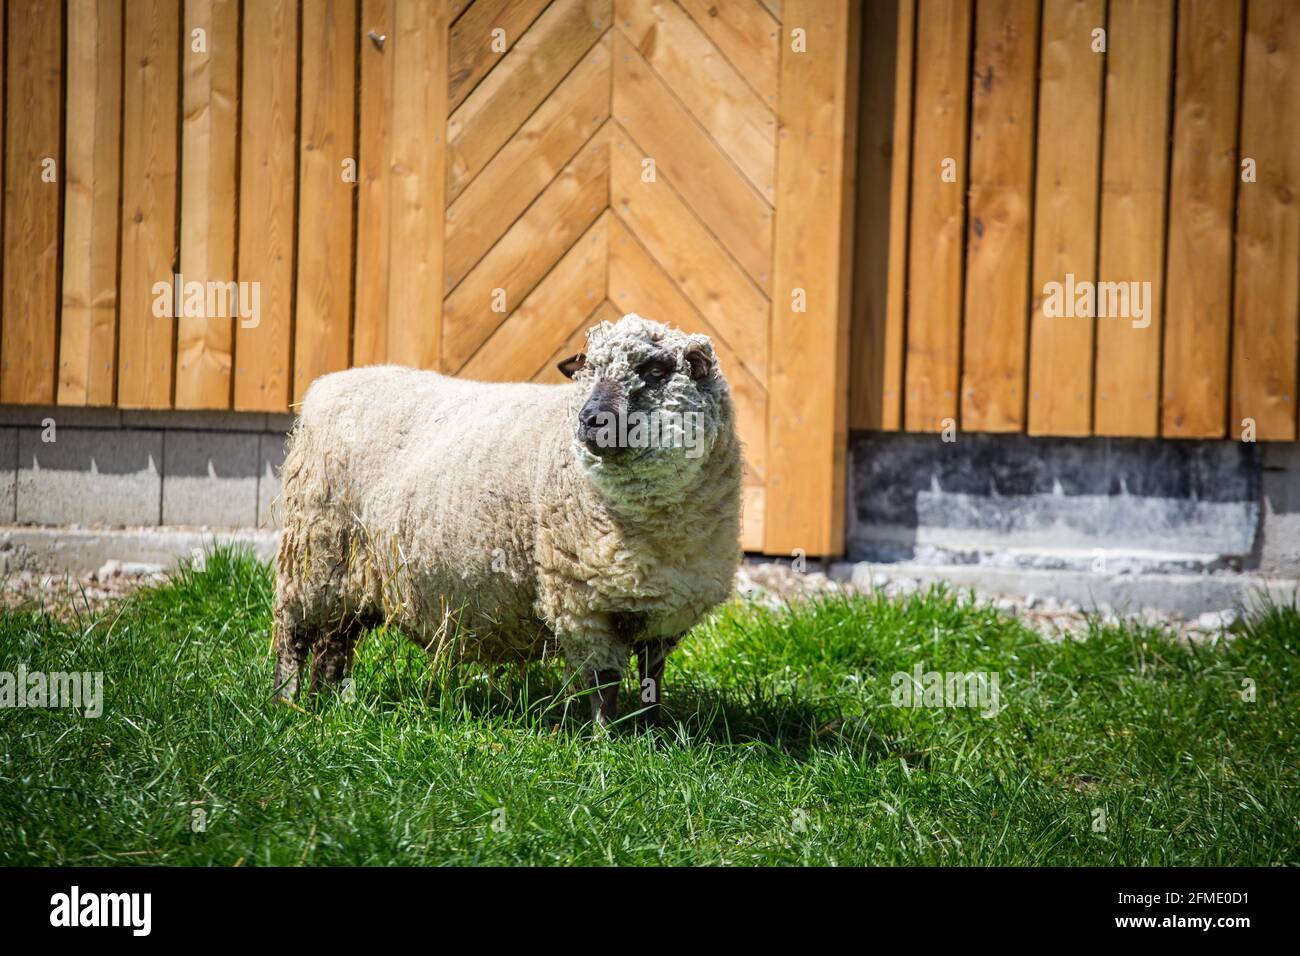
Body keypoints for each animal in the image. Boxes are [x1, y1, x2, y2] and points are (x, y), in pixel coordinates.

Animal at [273, 313, 743, 727]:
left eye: (655, 369)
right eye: (588, 369)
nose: (590, 419)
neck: (652, 528)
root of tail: (327, 385)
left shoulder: (667, 610)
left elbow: (652, 679)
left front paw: (653, 736)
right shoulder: (579, 601)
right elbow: (602, 682)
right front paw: (605, 743)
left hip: (353, 573)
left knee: (334, 643)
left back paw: (328, 704)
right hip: (313, 555)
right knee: (293, 633)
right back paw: (288, 703)